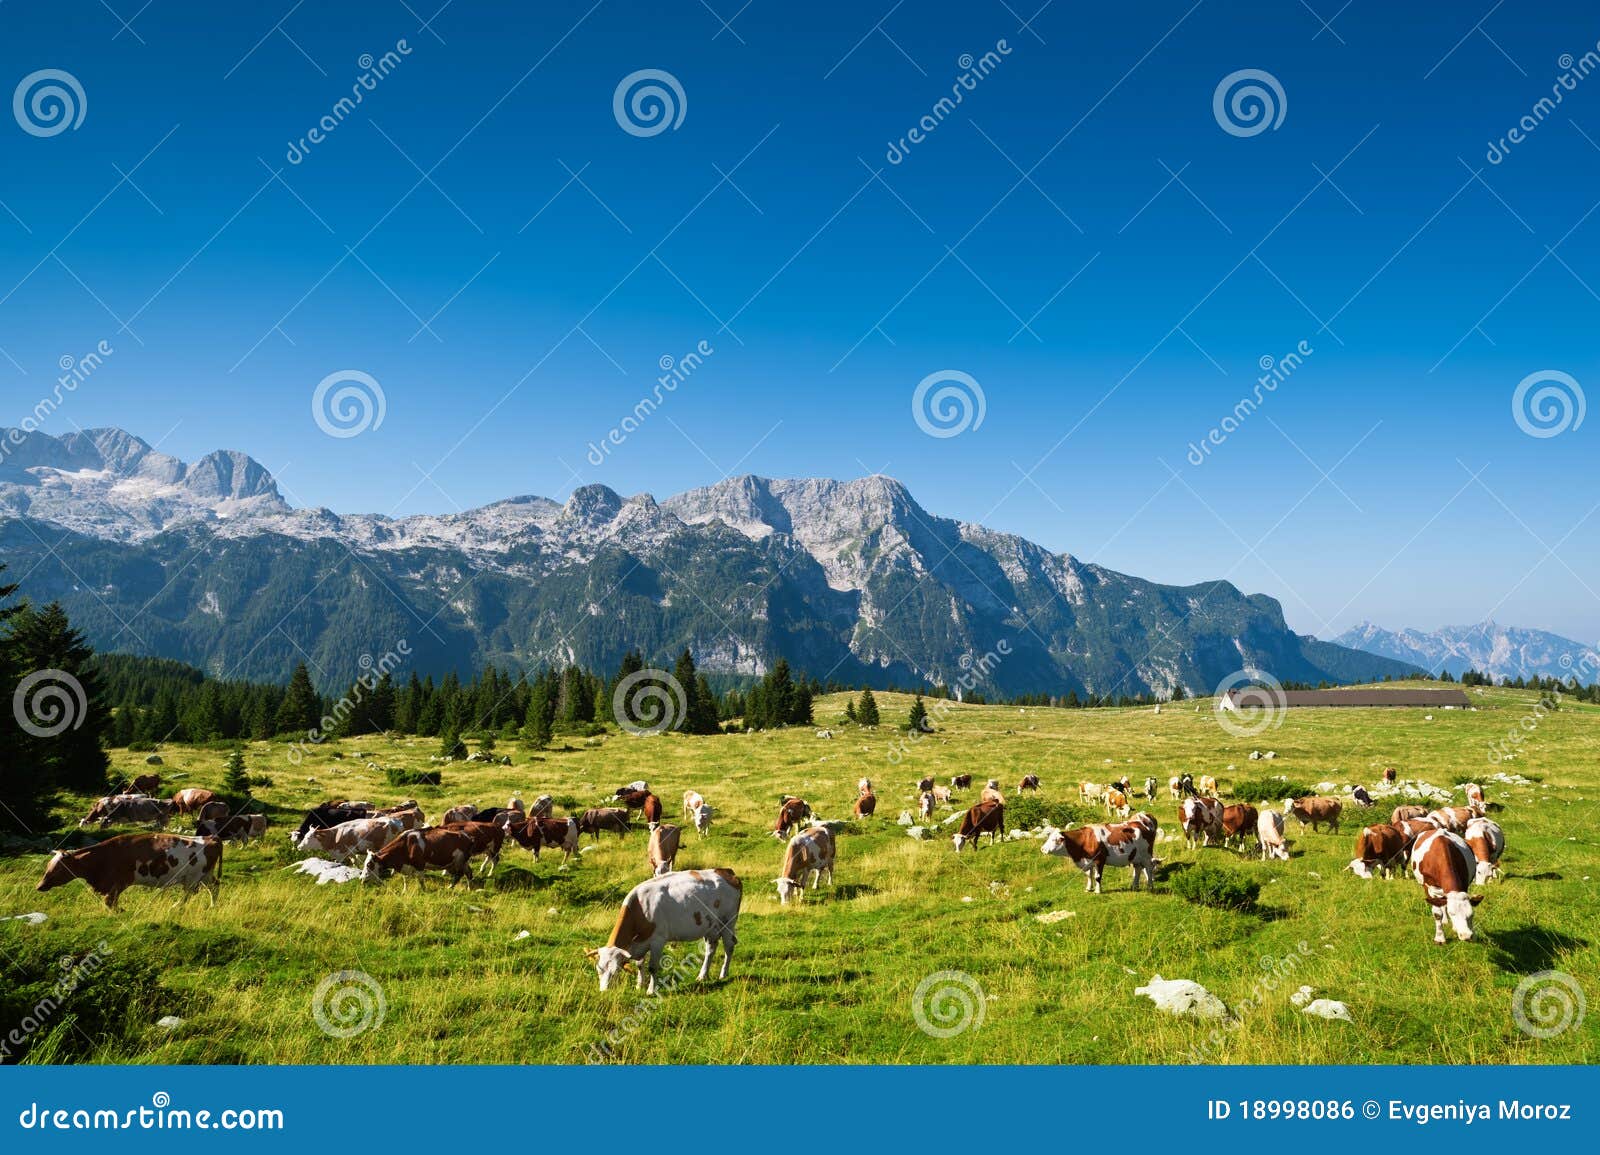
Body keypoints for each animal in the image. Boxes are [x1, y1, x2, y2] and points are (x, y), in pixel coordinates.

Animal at [38, 833, 221, 910]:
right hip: (206, 875)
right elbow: (110, 902)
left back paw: (175, 906)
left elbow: (109, 902)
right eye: (48, 866)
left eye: (59, 868)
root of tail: (210, 838)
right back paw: (213, 906)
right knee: (214, 887)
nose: (39, 886)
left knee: (188, 895)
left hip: (192, 878)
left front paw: (119, 912)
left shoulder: (119, 883)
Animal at [587, 868, 743, 994]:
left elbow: (652, 967)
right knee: (710, 949)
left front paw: (651, 990)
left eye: (616, 971)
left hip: (728, 922)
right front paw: (639, 985)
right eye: (599, 969)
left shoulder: (657, 941)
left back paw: (723, 974)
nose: (604, 991)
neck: (640, 910)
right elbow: (639, 964)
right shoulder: (640, 942)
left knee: (729, 947)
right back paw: (702, 975)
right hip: (710, 927)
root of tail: (726, 871)